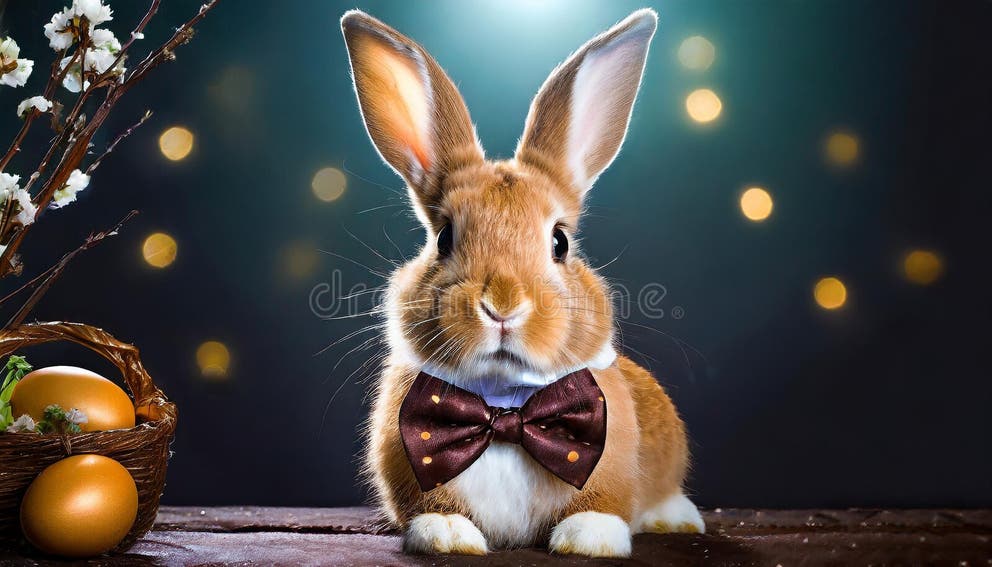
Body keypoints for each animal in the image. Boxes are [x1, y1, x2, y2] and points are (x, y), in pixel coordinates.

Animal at [340, 8, 704, 558]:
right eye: (444, 237)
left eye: (560, 242)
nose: (503, 306)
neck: (504, 407)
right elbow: (432, 509)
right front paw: (446, 536)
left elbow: (603, 504)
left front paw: (588, 539)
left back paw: (676, 519)